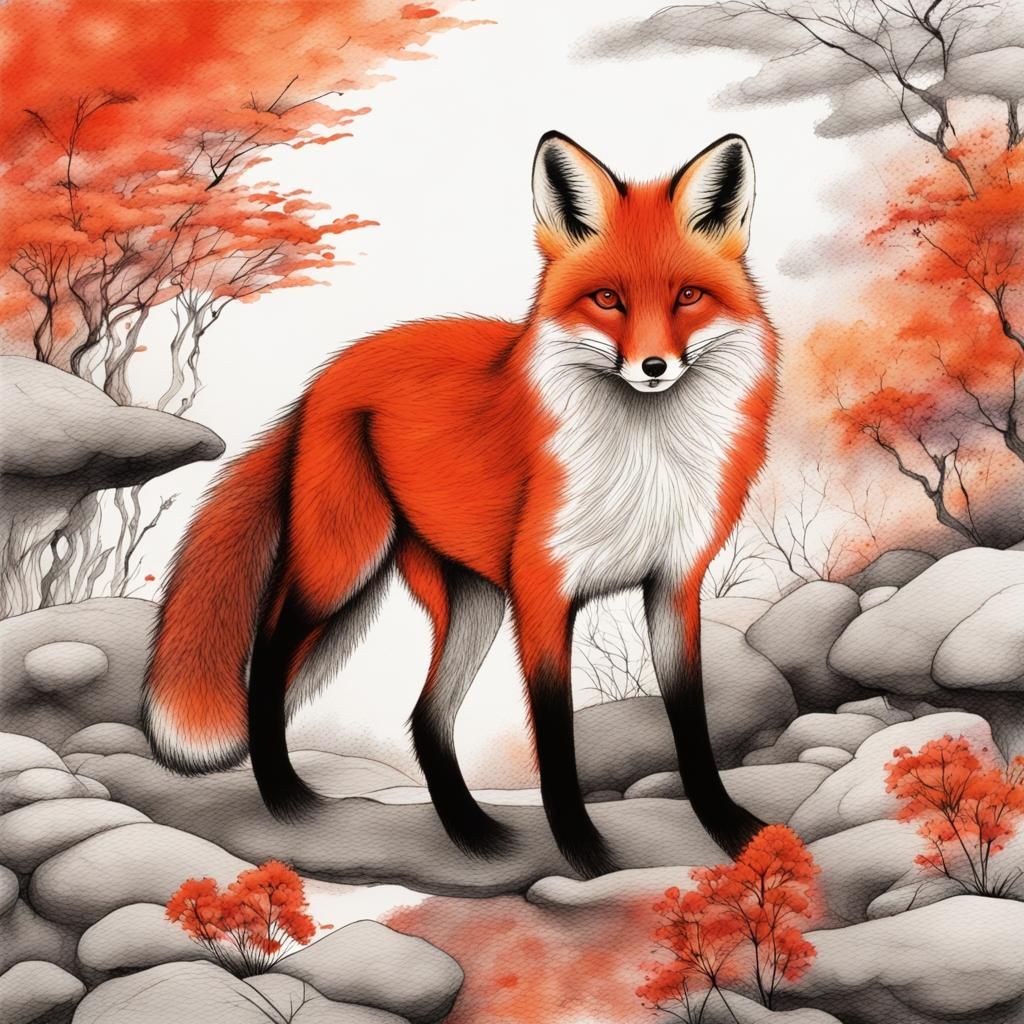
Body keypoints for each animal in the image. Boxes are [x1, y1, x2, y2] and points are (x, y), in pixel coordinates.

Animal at [142, 130, 779, 880]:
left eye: (687, 296)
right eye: (606, 299)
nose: (653, 367)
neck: (645, 463)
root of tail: (325, 376)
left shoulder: (675, 582)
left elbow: (691, 726)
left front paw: (733, 829)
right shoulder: (541, 587)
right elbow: (555, 738)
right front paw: (587, 856)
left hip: (472, 599)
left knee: (425, 717)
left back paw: (469, 831)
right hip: (345, 565)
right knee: (269, 655)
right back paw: (284, 797)